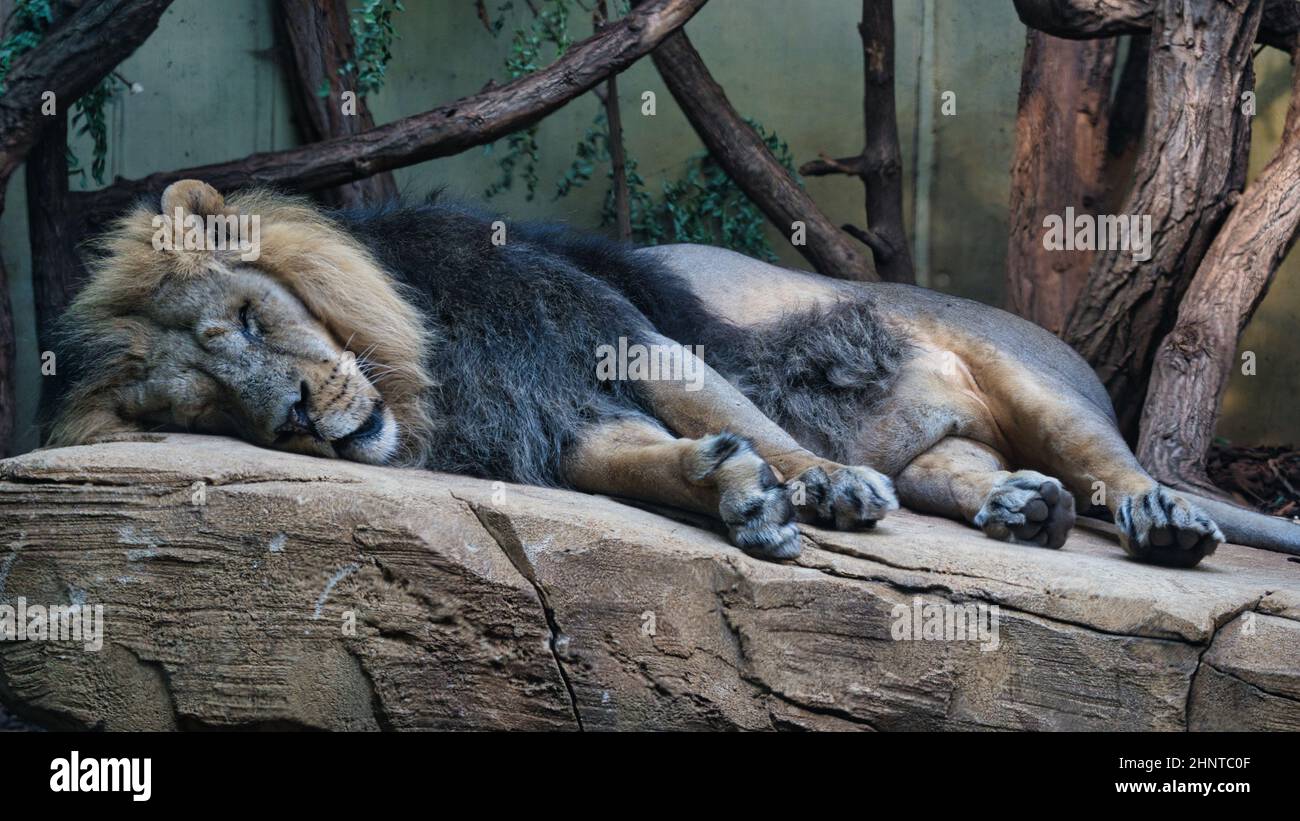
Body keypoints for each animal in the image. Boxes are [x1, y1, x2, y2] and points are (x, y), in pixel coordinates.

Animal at [46, 179, 1300, 568]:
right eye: (215, 409)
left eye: (251, 318)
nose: (304, 413)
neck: (428, 376)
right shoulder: (556, 420)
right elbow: (649, 464)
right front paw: (735, 493)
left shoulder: (621, 332)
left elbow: (739, 407)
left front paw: (814, 484)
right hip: (950, 446)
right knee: (971, 473)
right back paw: (1017, 508)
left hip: (1032, 378)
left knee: (1115, 468)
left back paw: (1155, 516)